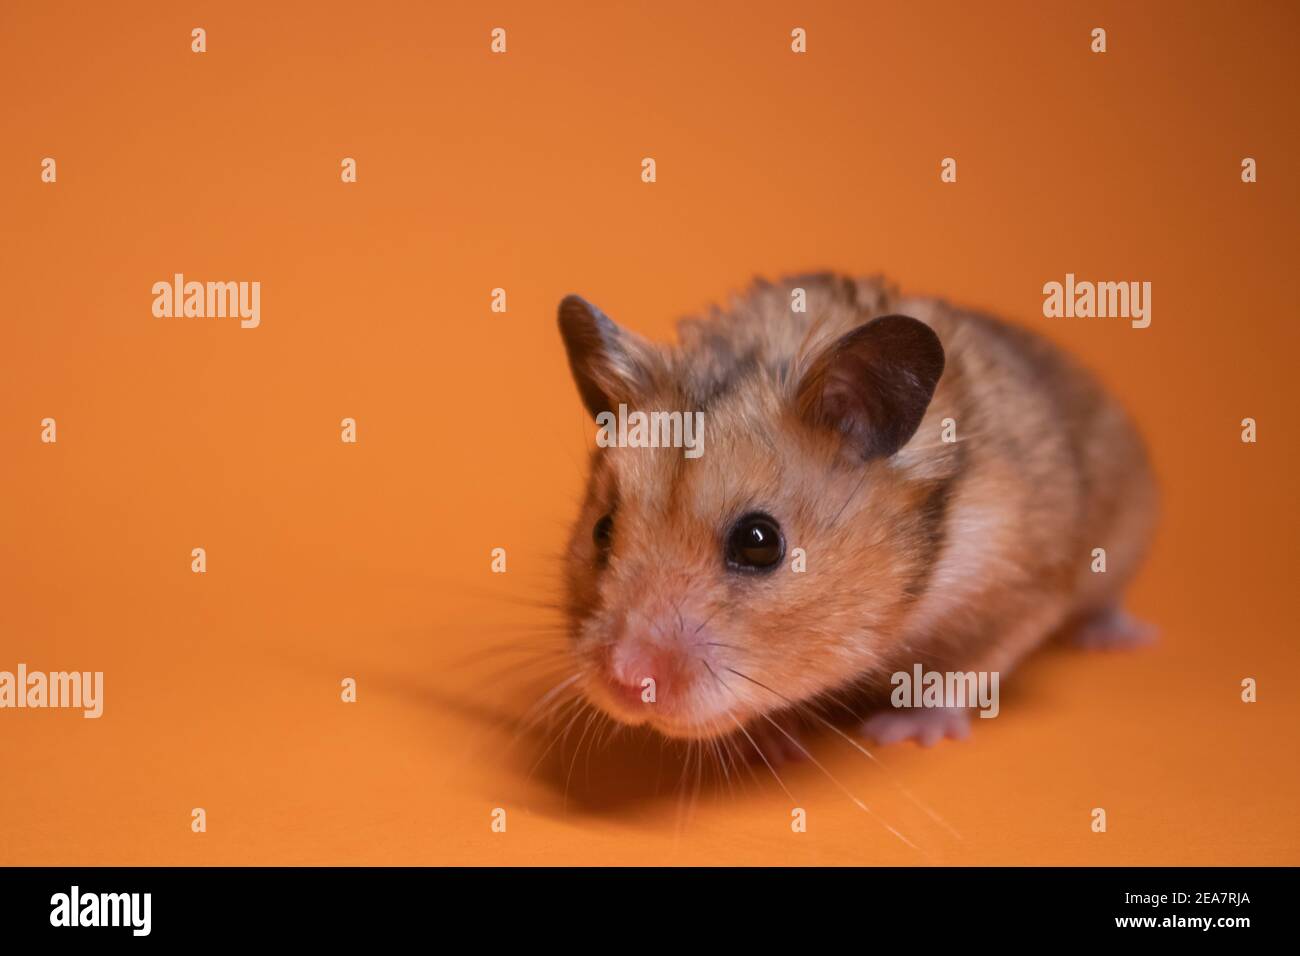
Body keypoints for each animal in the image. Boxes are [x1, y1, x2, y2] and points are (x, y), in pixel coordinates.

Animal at [555, 274, 1156, 749]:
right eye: (602, 529)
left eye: (759, 542)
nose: (624, 683)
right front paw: (775, 743)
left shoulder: (1024, 585)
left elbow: (966, 670)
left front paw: (899, 732)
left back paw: (1118, 638)